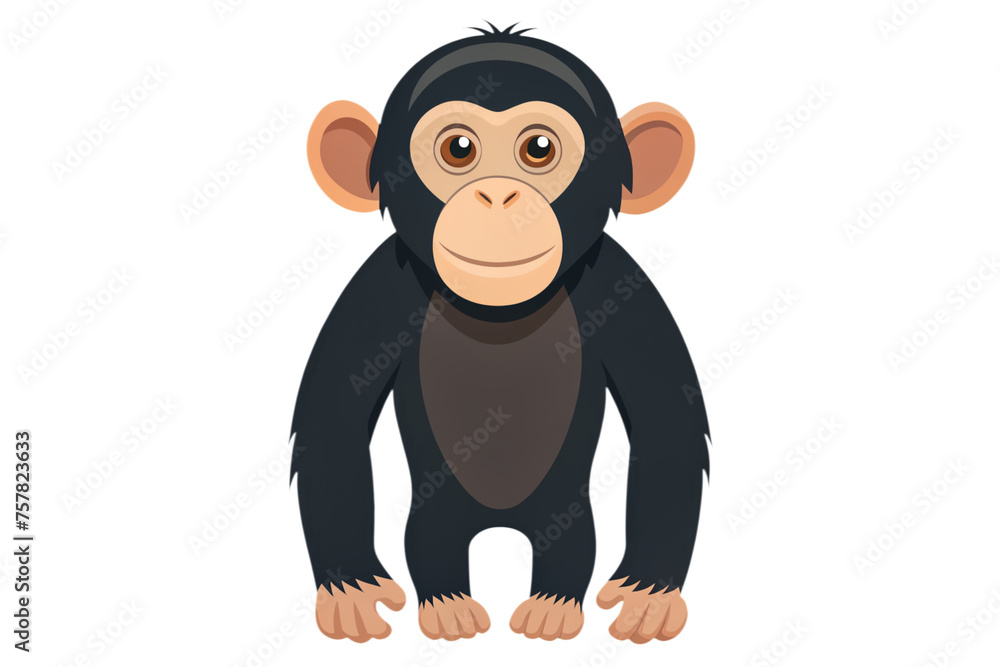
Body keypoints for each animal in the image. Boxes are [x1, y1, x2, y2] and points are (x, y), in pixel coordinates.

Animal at [290, 23, 710, 644]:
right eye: (458, 149)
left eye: (538, 149)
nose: (497, 196)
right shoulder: (375, 290)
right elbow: (333, 421)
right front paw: (352, 594)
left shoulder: (626, 290)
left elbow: (666, 424)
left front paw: (648, 598)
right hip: (440, 518)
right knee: (431, 543)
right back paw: (448, 606)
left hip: (561, 516)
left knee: (569, 545)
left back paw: (552, 606)